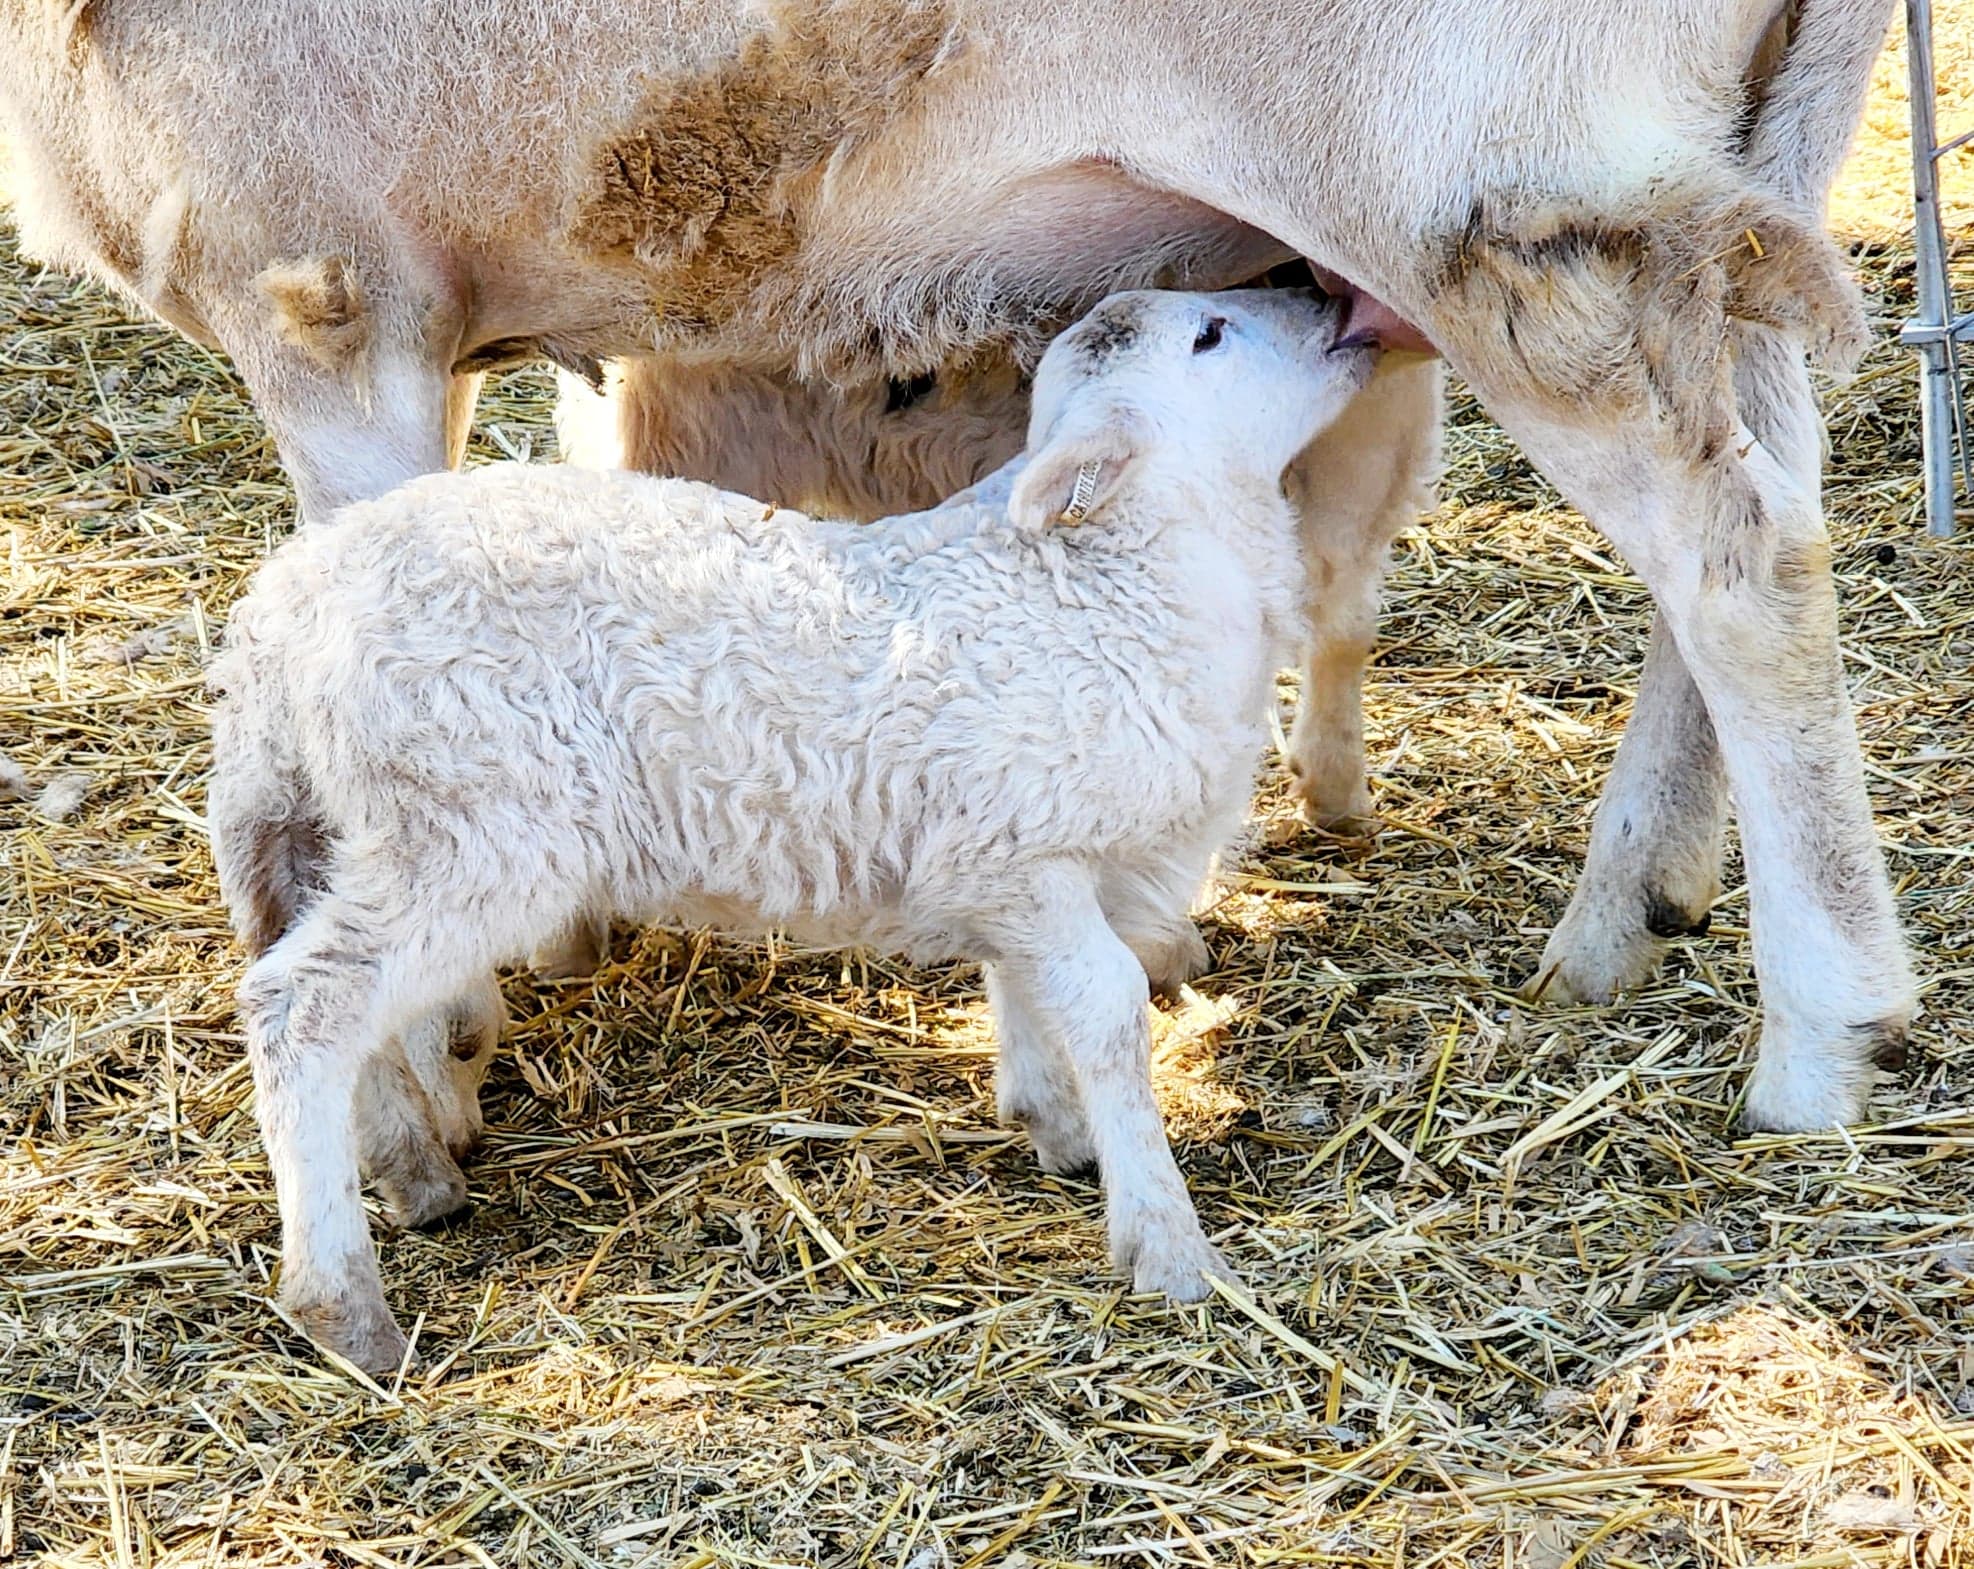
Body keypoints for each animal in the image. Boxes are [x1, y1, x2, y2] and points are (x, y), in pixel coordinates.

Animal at [207, 286, 1377, 1375]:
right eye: (1210, 336)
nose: (1323, 298)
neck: (1108, 587)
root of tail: (283, 612)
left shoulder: (1006, 864)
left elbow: (1026, 998)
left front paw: (1056, 1127)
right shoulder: (1028, 857)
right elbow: (1105, 1013)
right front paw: (1166, 1241)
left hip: (347, 827)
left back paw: (409, 1172)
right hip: (466, 827)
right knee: (304, 1008)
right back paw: (342, 1302)